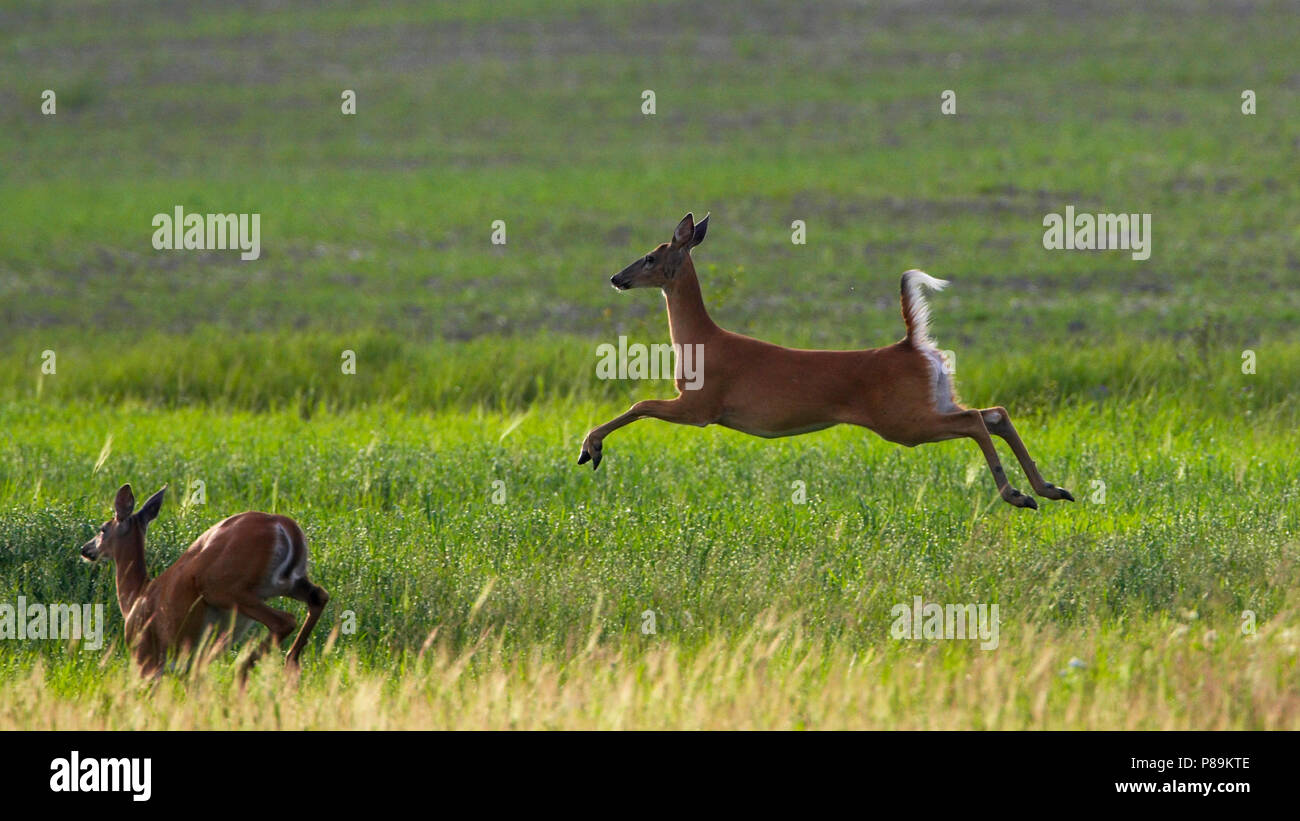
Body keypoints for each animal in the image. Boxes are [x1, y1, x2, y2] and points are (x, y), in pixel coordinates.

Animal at [79, 483, 330, 680]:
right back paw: (291, 665)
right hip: (288, 582)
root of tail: (284, 526)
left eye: (103, 529)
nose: (85, 549)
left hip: (223, 587)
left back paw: (243, 670)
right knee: (319, 596)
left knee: (284, 619)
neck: (135, 596)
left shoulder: (145, 655)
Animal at [578, 212, 1074, 510]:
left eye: (650, 256)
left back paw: (1017, 494)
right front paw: (590, 450)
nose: (616, 277)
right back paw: (1051, 489)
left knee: (974, 421)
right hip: (933, 400)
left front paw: (590, 449)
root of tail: (912, 346)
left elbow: (639, 405)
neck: (700, 343)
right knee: (995, 413)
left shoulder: (701, 405)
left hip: (903, 421)